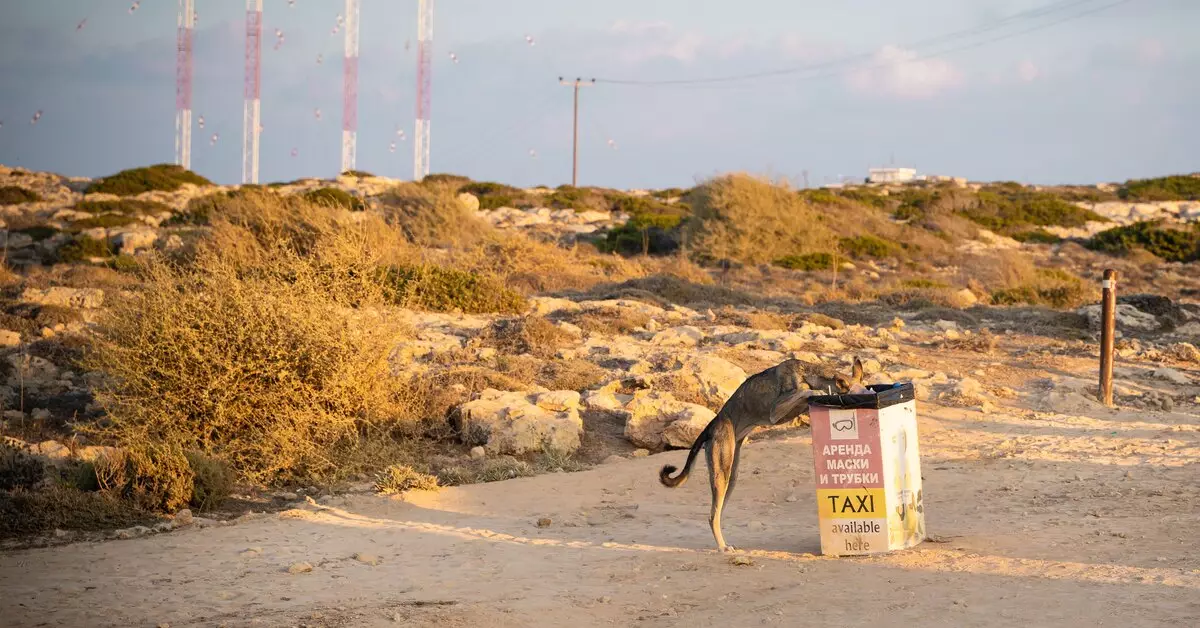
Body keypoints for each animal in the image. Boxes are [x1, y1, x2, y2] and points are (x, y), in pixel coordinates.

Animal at [662, 355, 868, 552]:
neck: (806, 373)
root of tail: (711, 425)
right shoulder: (775, 412)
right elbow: (805, 392)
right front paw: (817, 392)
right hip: (721, 475)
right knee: (712, 516)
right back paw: (722, 547)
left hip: (730, 476)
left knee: (716, 514)